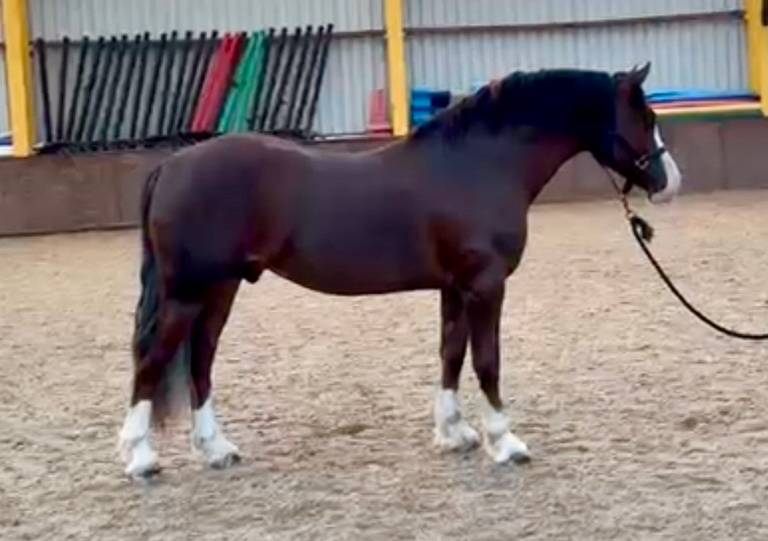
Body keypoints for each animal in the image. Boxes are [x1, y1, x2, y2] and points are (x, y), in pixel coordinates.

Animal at [117, 62, 682, 479]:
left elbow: (451, 354)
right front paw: (505, 443)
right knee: (153, 361)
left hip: (221, 289)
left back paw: (216, 449)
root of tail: (171, 165)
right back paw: (141, 457)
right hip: (187, 292)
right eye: (644, 117)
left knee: (200, 361)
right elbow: (488, 362)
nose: (670, 181)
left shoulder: (456, 288)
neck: (478, 164)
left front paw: (455, 434)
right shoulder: (485, 286)